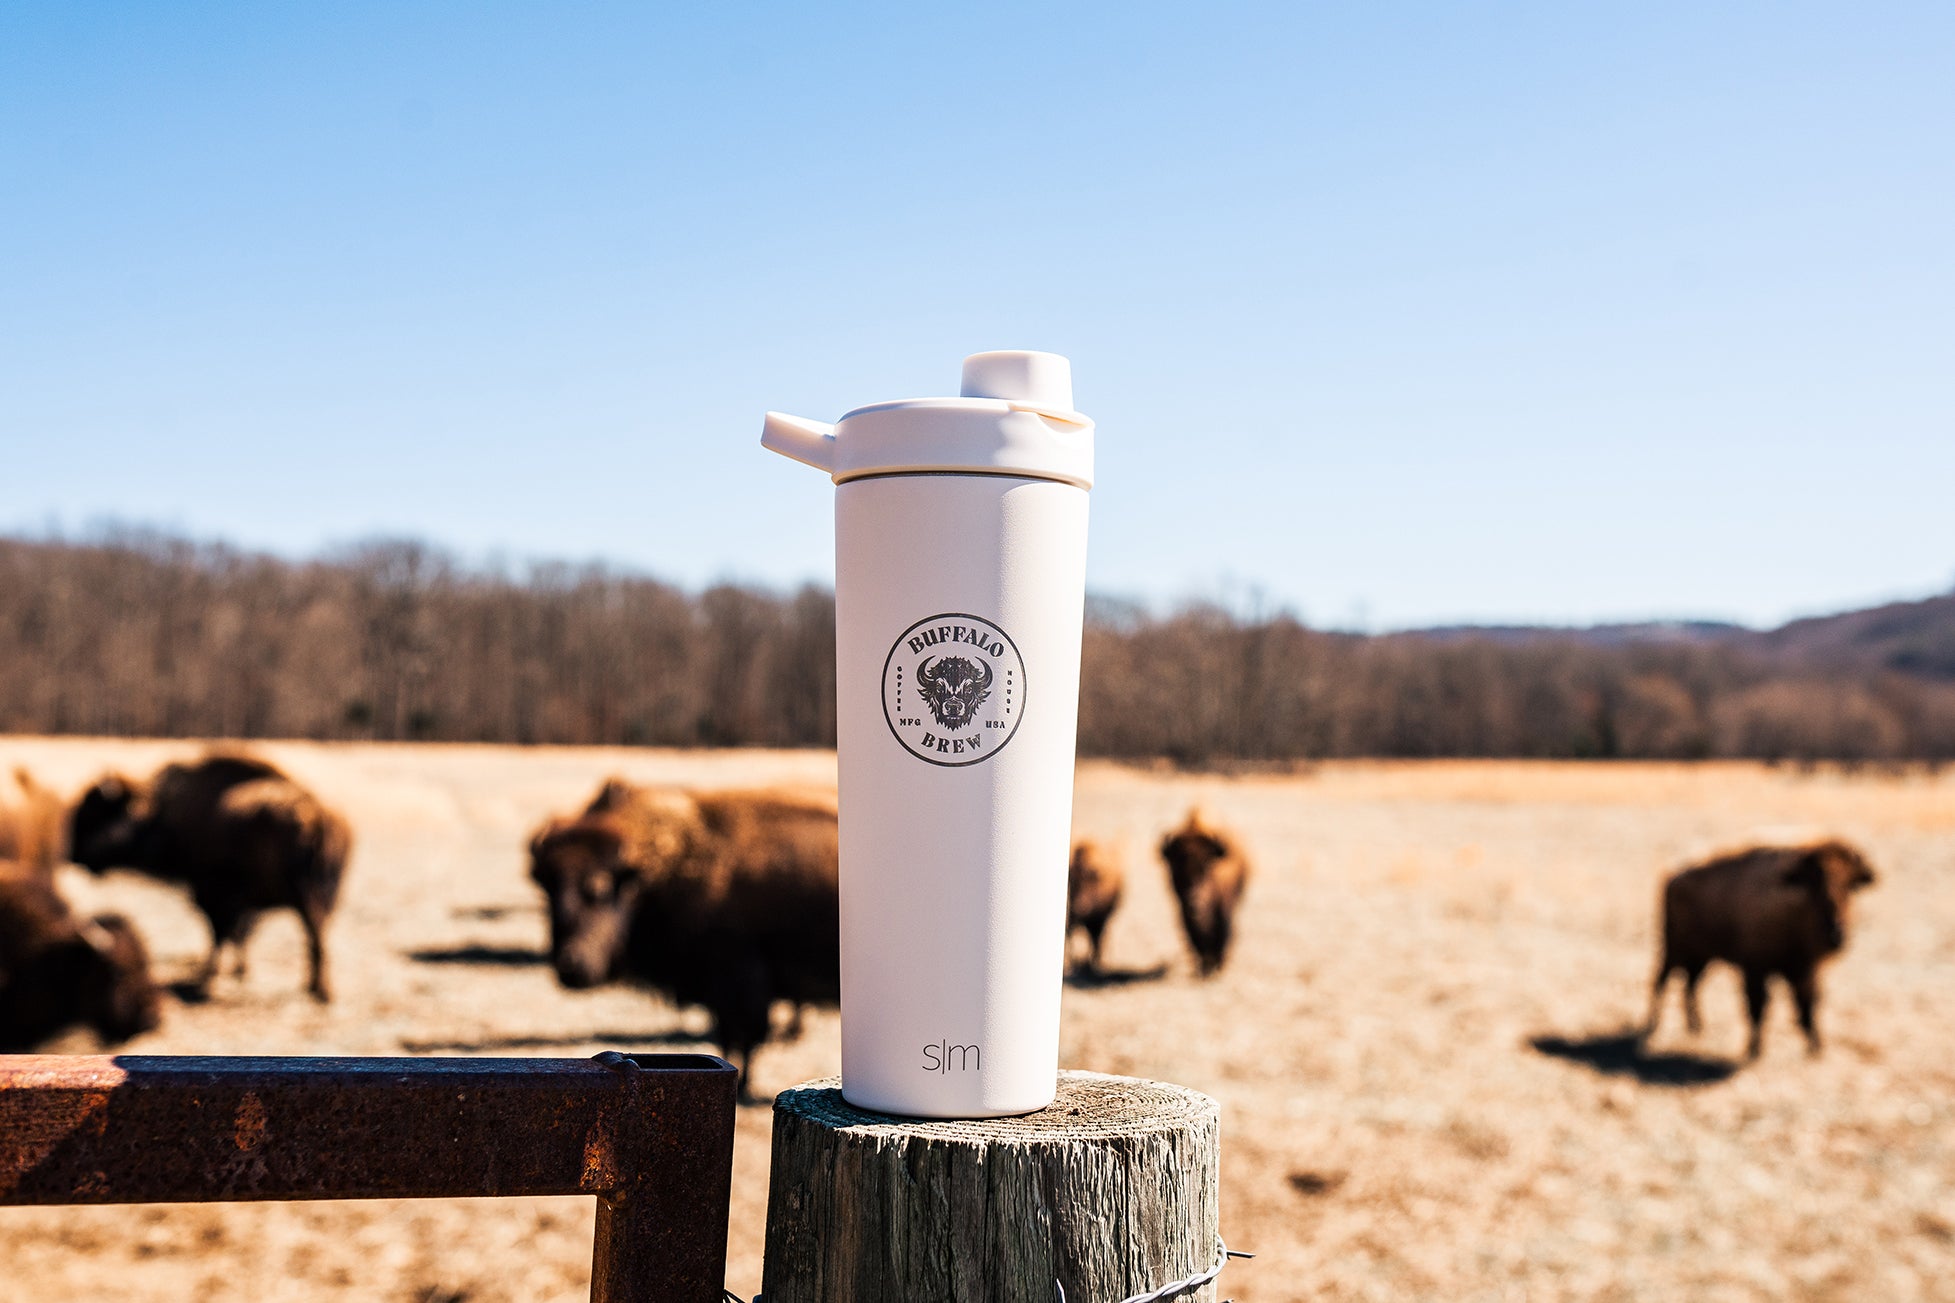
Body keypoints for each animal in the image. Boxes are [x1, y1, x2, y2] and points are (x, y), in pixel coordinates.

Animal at [69, 754, 351, 1002]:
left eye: (96, 814)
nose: (73, 855)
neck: (165, 813)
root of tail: (316, 819)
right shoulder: (241, 904)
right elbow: (237, 935)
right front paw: (237, 971)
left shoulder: (213, 896)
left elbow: (220, 934)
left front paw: (209, 979)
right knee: (317, 939)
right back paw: (315, 988)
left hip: (309, 900)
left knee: (316, 937)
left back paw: (321, 992)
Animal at [1645, 840, 1877, 1058]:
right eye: (1813, 885)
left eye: (1851, 886)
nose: (1837, 934)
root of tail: (1672, 879)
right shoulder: (1755, 969)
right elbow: (1758, 1006)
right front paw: (1754, 1050)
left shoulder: (1805, 970)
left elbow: (1808, 1005)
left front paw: (1816, 1048)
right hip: (1675, 950)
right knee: (1661, 979)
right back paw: (1653, 1026)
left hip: (1702, 957)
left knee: (1691, 984)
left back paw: (1695, 1027)